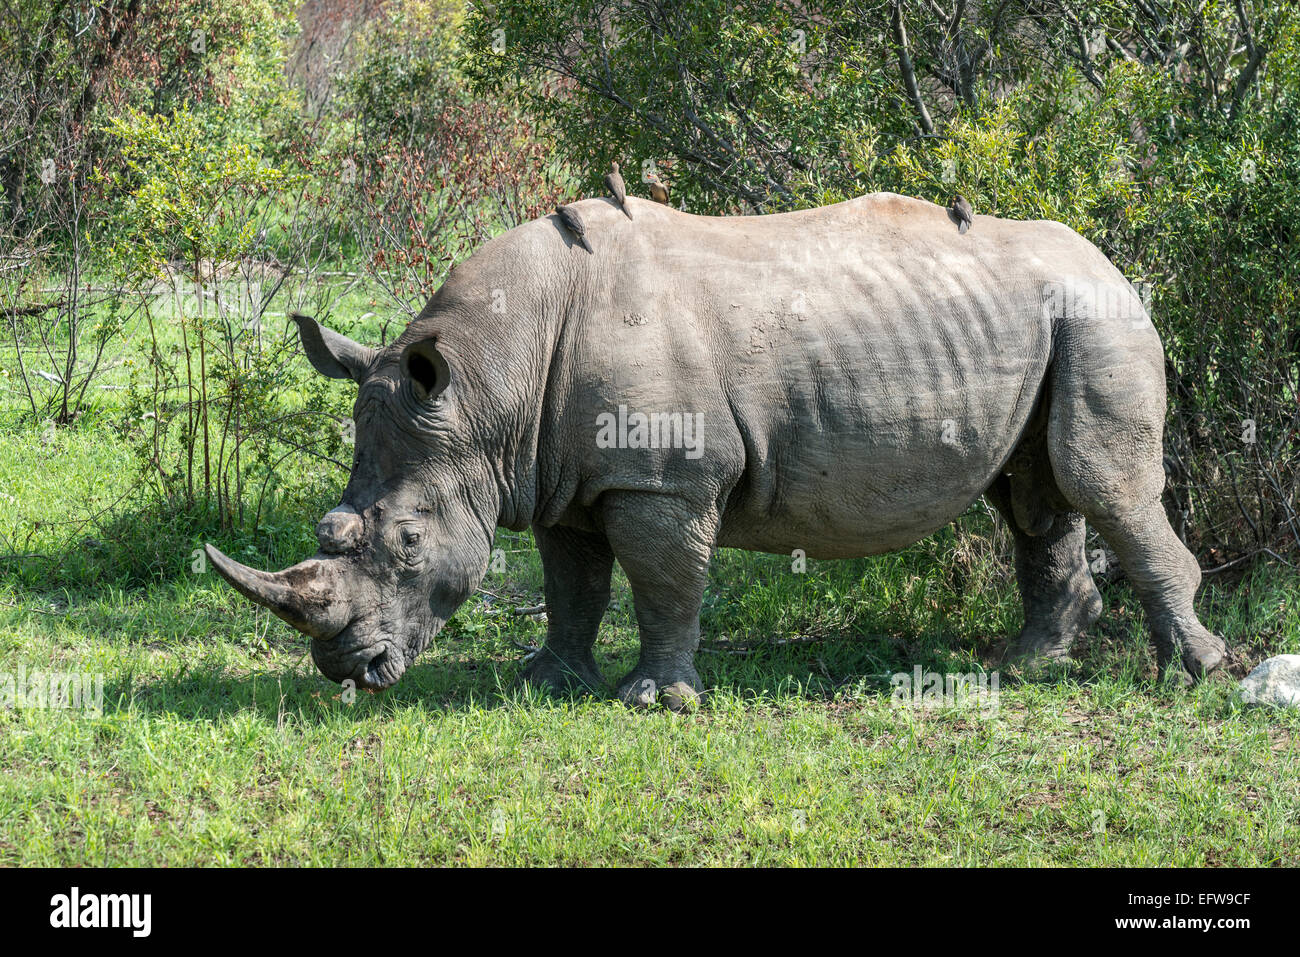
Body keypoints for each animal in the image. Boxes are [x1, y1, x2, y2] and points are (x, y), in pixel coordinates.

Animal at [206, 193, 1227, 710]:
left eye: (408, 542)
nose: (346, 670)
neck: (490, 382)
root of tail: (1111, 258)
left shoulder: (658, 476)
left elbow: (662, 581)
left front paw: (655, 701)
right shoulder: (562, 470)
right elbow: (574, 581)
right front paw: (549, 679)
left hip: (1100, 314)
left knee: (1102, 485)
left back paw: (1197, 673)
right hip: (1053, 317)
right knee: (1033, 497)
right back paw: (1027, 667)